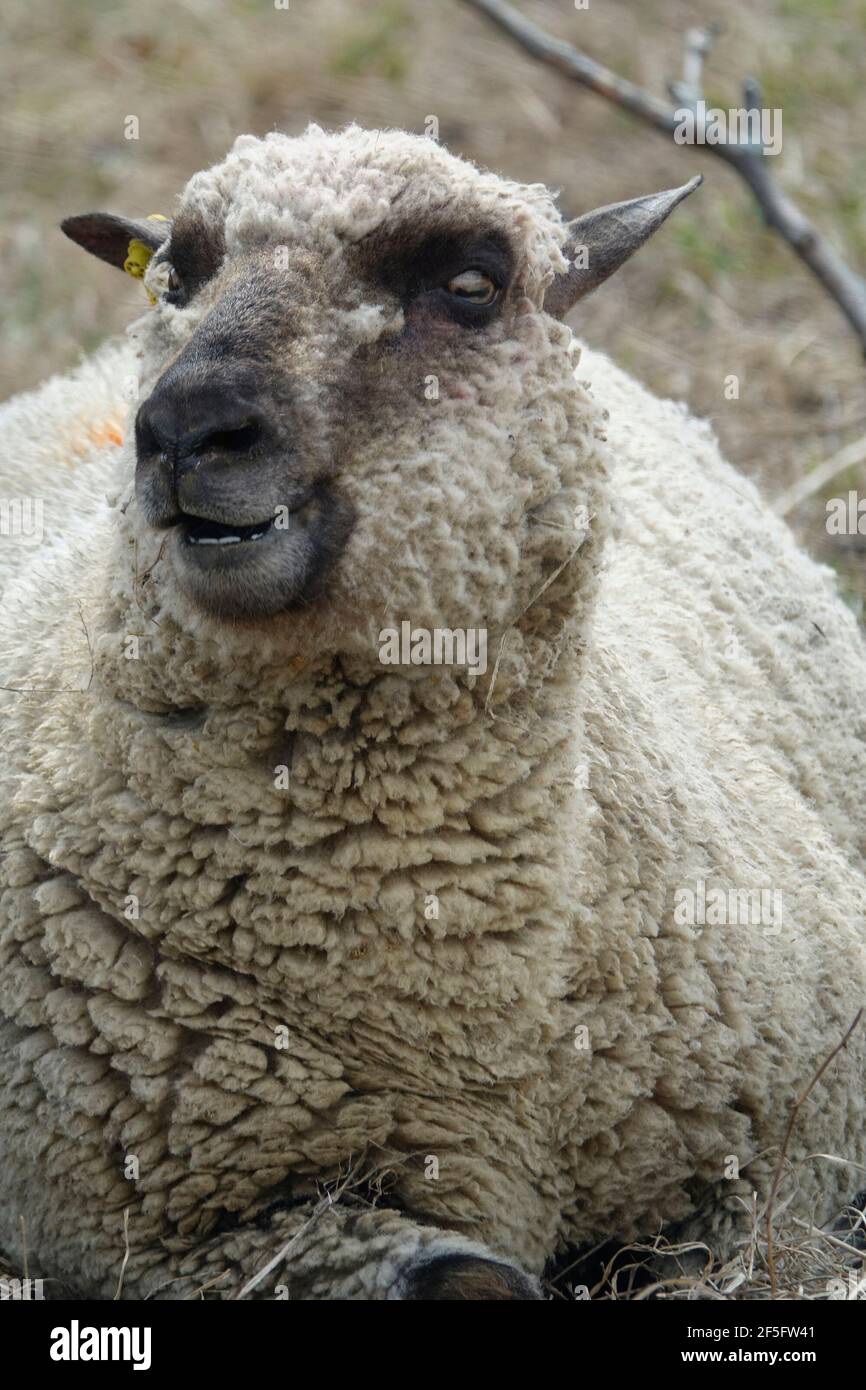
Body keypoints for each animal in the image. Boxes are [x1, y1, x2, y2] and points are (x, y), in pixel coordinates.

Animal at [1, 123, 865, 1301]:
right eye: (174, 279)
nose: (183, 430)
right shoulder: (181, 1232)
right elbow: (458, 1274)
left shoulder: (784, 1144)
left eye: (470, 285)